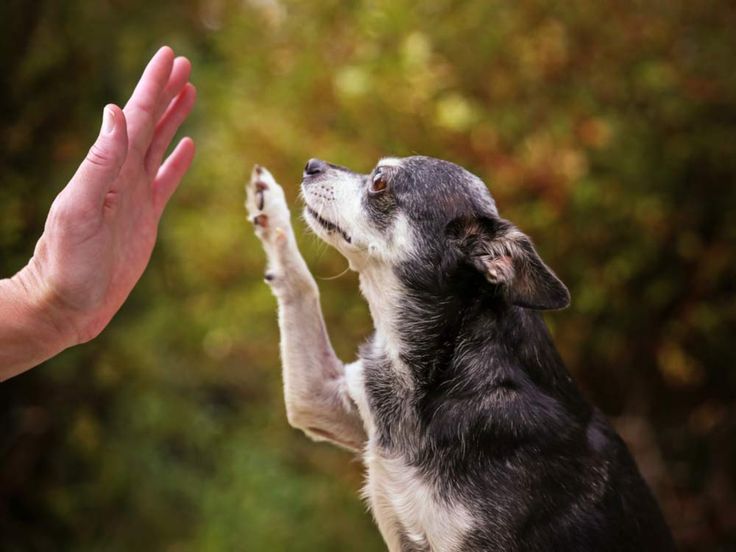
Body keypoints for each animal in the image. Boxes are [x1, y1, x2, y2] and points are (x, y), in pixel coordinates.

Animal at [244, 156, 676, 552]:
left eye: (380, 181)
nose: (312, 165)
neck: (442, 368)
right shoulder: (318, 399)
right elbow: (302, 287)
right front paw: (269, 208)